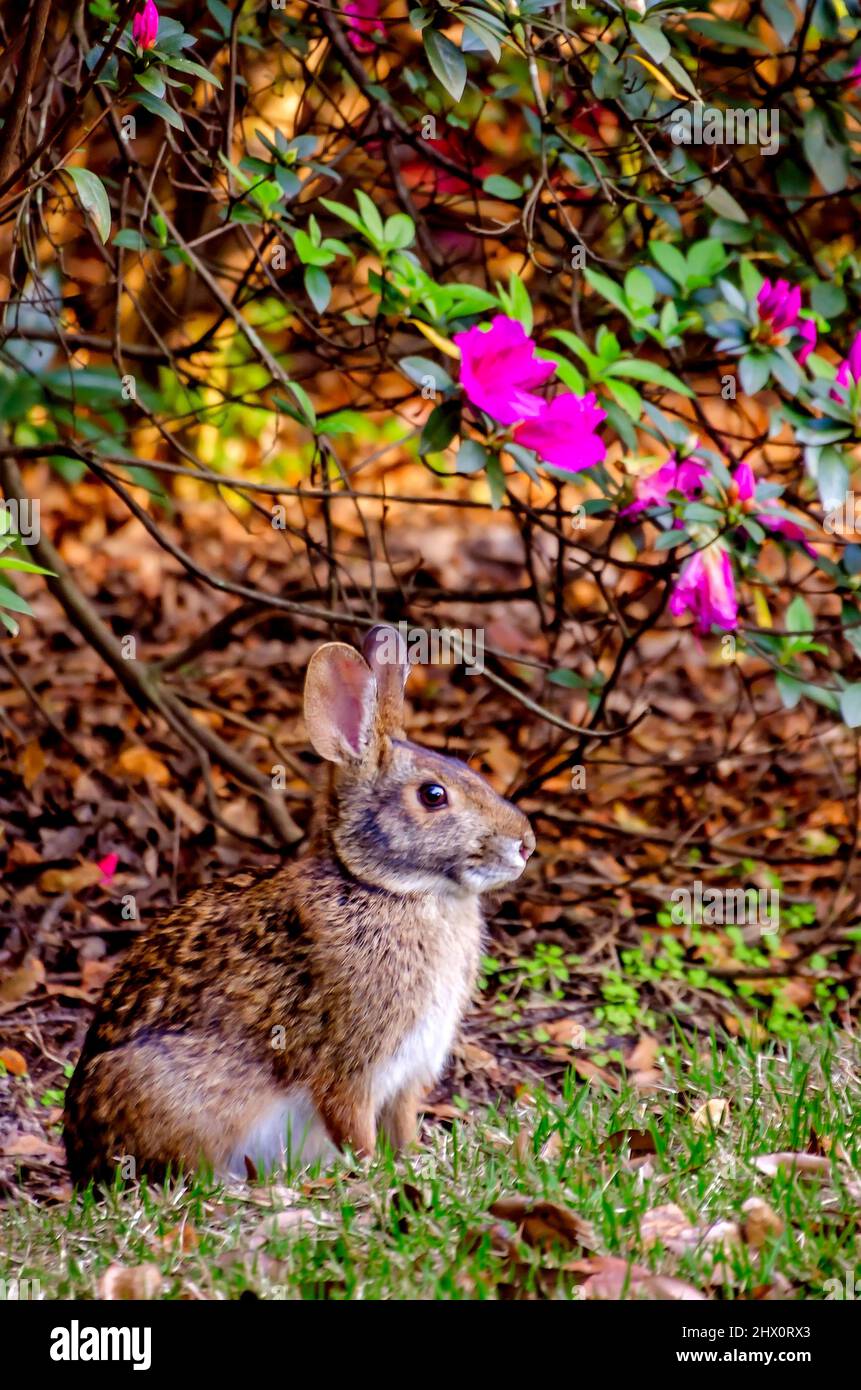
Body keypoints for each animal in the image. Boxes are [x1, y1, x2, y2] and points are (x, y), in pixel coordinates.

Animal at [63, 625, 535, 1185]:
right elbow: (353, 1124)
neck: (385, 887)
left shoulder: (408, 1073)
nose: (526, 843)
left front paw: (413, 1162)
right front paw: (378, 1175)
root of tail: (78, 1155)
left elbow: (402, 1125)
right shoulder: (351, 1066)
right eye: (433, 795)